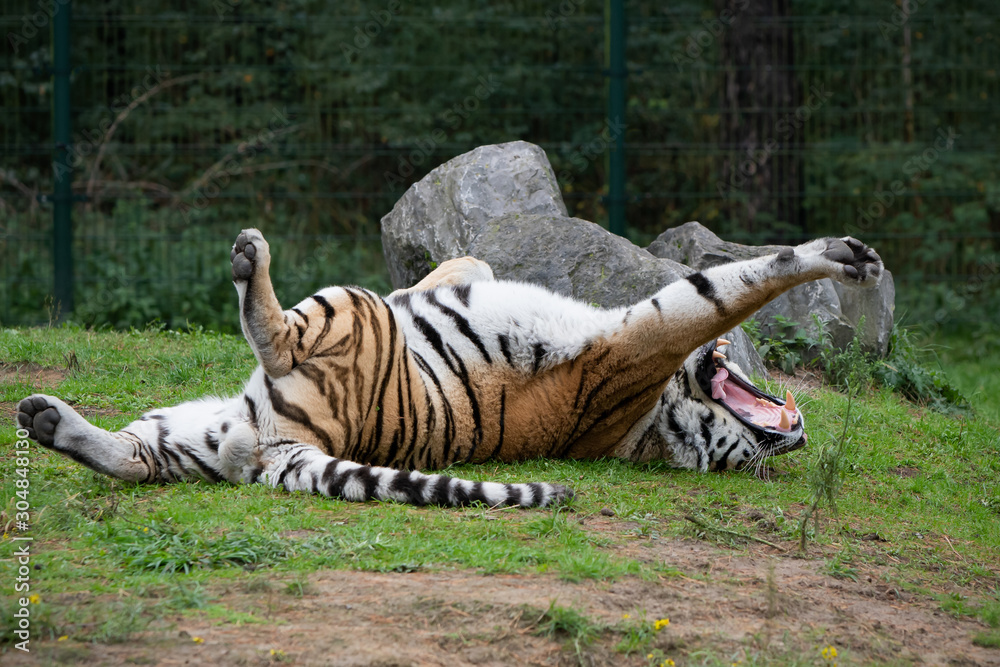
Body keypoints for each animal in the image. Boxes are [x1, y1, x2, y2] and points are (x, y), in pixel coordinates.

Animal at [16, 229, 883, 509]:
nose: (795, 436)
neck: (646, 415)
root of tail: (271, 447)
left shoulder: (643, 334)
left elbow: (731, 286)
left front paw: (844, 259)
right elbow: (456, 270)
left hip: (342, 313)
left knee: (281, 334)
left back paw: (249, 260)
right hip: (197, 429)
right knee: (137, 457)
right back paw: (45, 418)